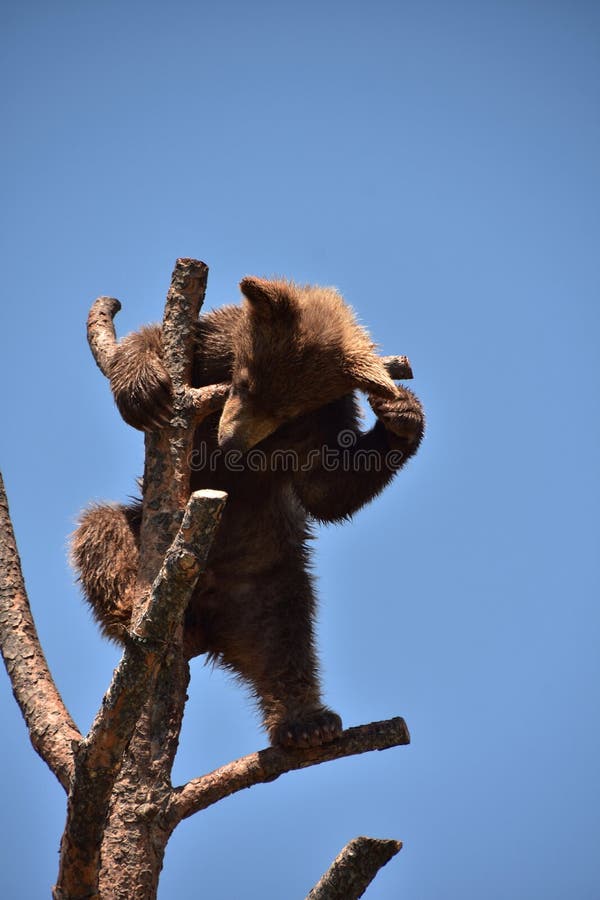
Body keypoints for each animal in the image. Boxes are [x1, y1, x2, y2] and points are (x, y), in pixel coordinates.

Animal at [71, 277, 425, 749]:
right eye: (243, 381)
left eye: (287, 409)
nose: (230, 444)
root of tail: (208, 626)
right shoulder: (215, 343)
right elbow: (159, 342)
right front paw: (144, 386)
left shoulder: (328, 414)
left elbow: (327, 489)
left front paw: (400, 414)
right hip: (142, 530)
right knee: (101, 529)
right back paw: (131, 604)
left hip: (268, 578)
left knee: (284, 639)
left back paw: (307, 721)